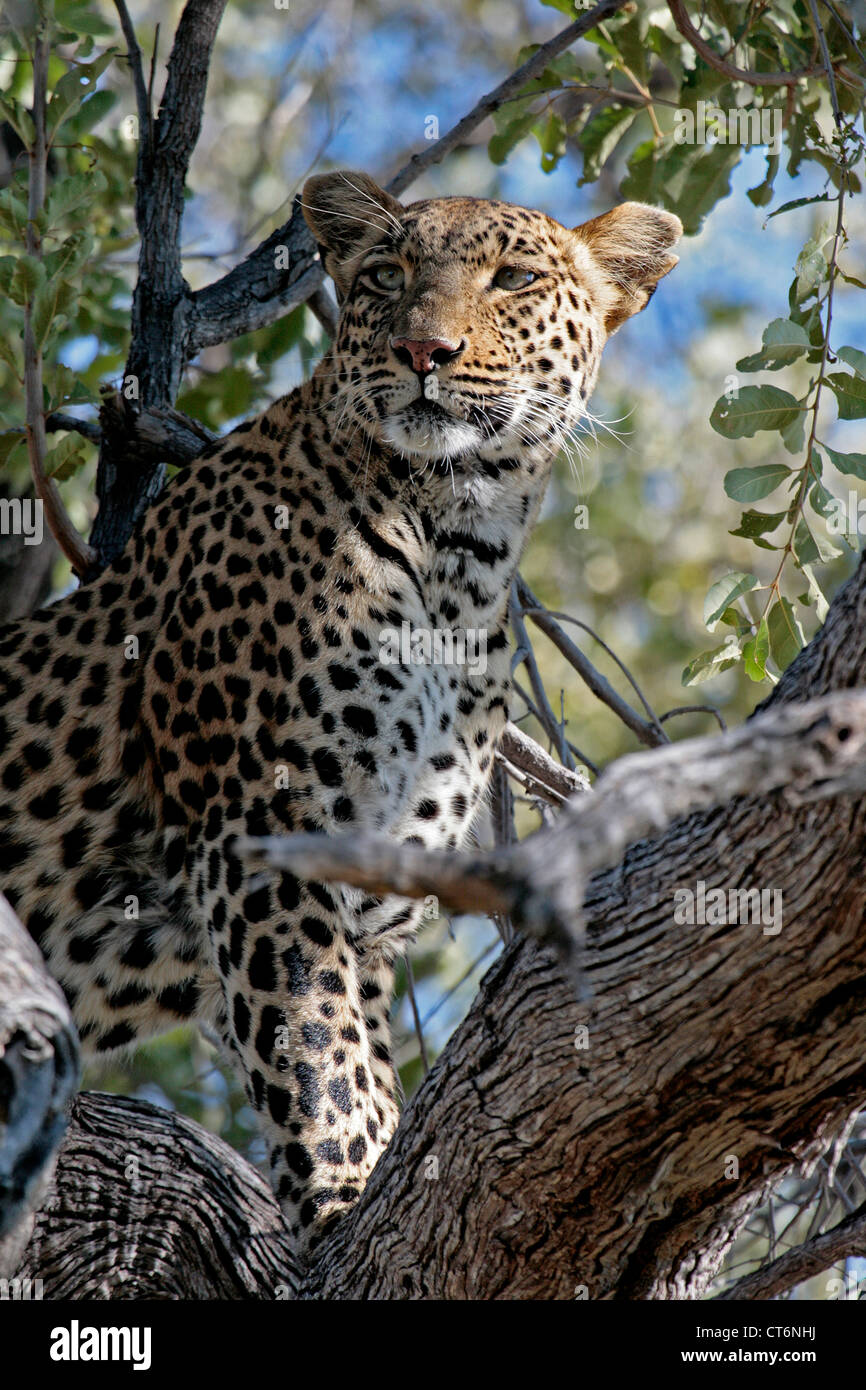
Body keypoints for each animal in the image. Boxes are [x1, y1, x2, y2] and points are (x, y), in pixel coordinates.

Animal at [0, 170, 681, 1255]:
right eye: (386, 276)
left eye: (515, 278)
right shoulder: (262, 833)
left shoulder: (371, 882)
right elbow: (316, 1050)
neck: (458, 543)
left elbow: (355, 1051)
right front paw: (345, 1195)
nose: (424, 352)